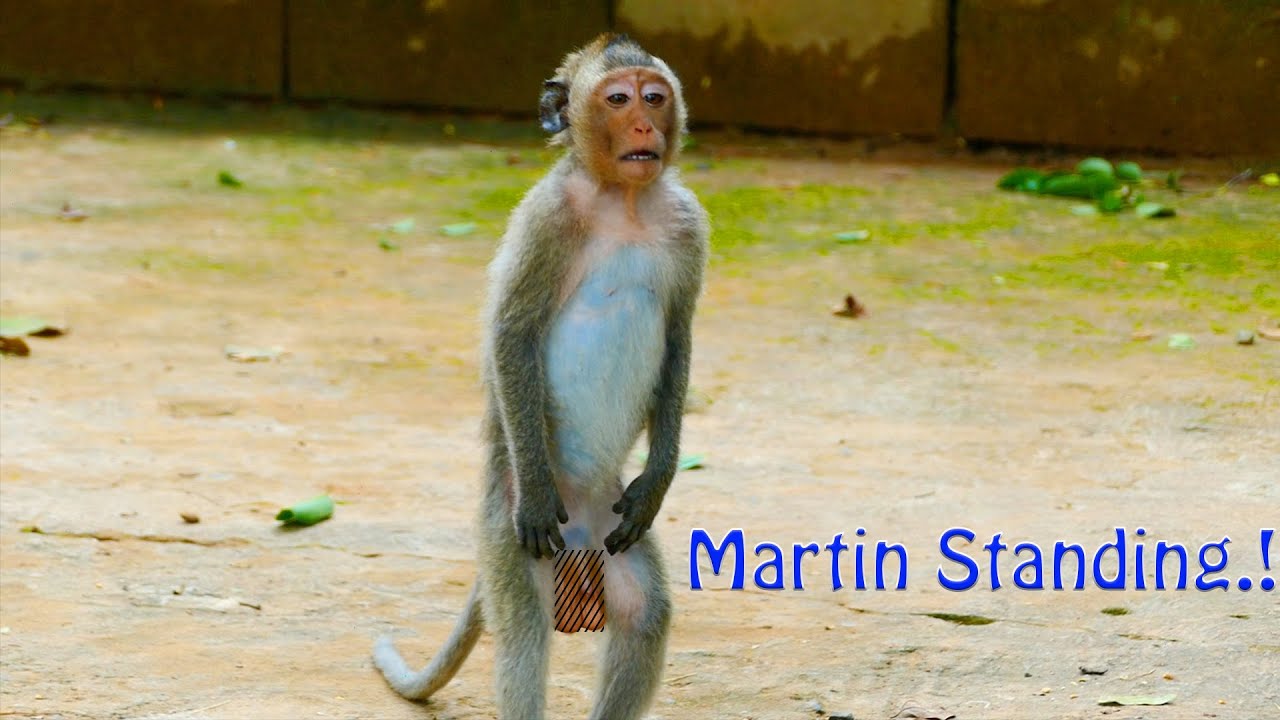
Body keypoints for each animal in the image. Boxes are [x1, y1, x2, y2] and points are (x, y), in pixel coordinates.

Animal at [373, 33, 708, 720]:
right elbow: (513, 333)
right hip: (504, 526)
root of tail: (579, 512)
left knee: (645, 615)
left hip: (611, 525)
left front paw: (659, 479)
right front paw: (534, 491)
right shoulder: (547, 217)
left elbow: (679, 337)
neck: (622, 201)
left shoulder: (688, 224)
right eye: (618, 100)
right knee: (525, 627)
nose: (644, 126)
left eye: (655, 98)